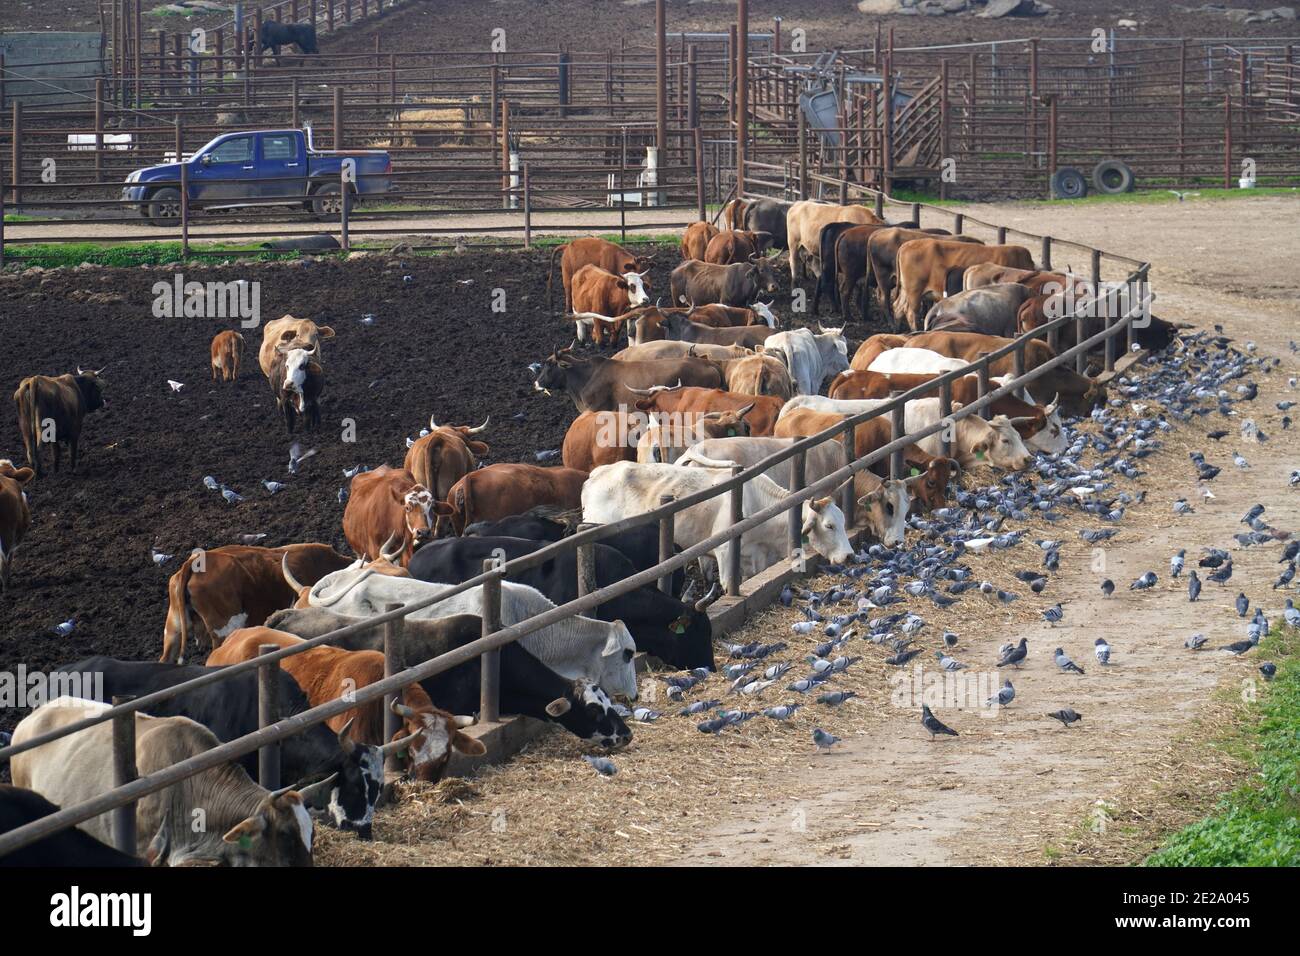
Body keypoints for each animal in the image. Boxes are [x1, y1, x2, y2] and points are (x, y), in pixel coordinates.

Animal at [584, 461, 854, 600]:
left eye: (842, 521)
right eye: (829, 525)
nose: (850, 555)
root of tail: (598, 473)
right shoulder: (725, 554)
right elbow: (726, 584)